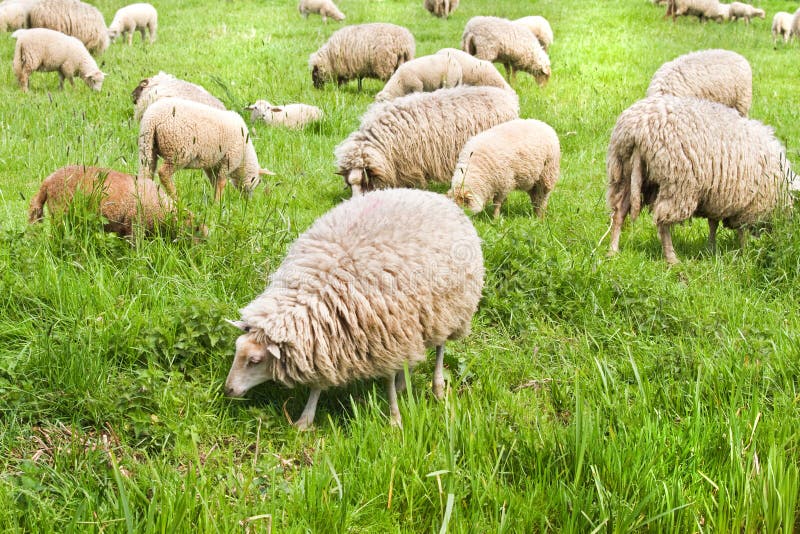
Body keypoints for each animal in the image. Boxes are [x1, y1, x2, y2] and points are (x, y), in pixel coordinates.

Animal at [138, 97, 274, 202]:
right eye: (258, 182)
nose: (248, 201)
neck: (244, 158)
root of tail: (153, 118)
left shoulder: (212, 164)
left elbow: (214, 182)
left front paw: (215, 201)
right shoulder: (229, 160)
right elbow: (221, 182)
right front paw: (218, 203)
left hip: (146, 147)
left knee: (145, 173)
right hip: (178, 152)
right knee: (163, 173)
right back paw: (176, 198)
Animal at [224, 188, 485, 429]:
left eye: (255, 360)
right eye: (237, 350)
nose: (227, 390)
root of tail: (434, 194)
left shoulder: (385, 335)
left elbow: (387, 380)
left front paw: (394, 419)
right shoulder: (327, 341)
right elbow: (318, 383)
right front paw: (305, 419)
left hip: (453, 310)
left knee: (440, 348)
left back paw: (437, 387)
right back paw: (405, 384)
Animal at [606, 95, 797, 265]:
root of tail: (638, 129)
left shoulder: (718, 197)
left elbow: (713, 224)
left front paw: (711, 249)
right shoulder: (747, 204)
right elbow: (741, 231)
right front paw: (745, 253)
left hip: (622, 171)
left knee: (619, 212)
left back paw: (613, 251)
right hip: (678, 183)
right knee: (662, 222)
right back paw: (672, 259)